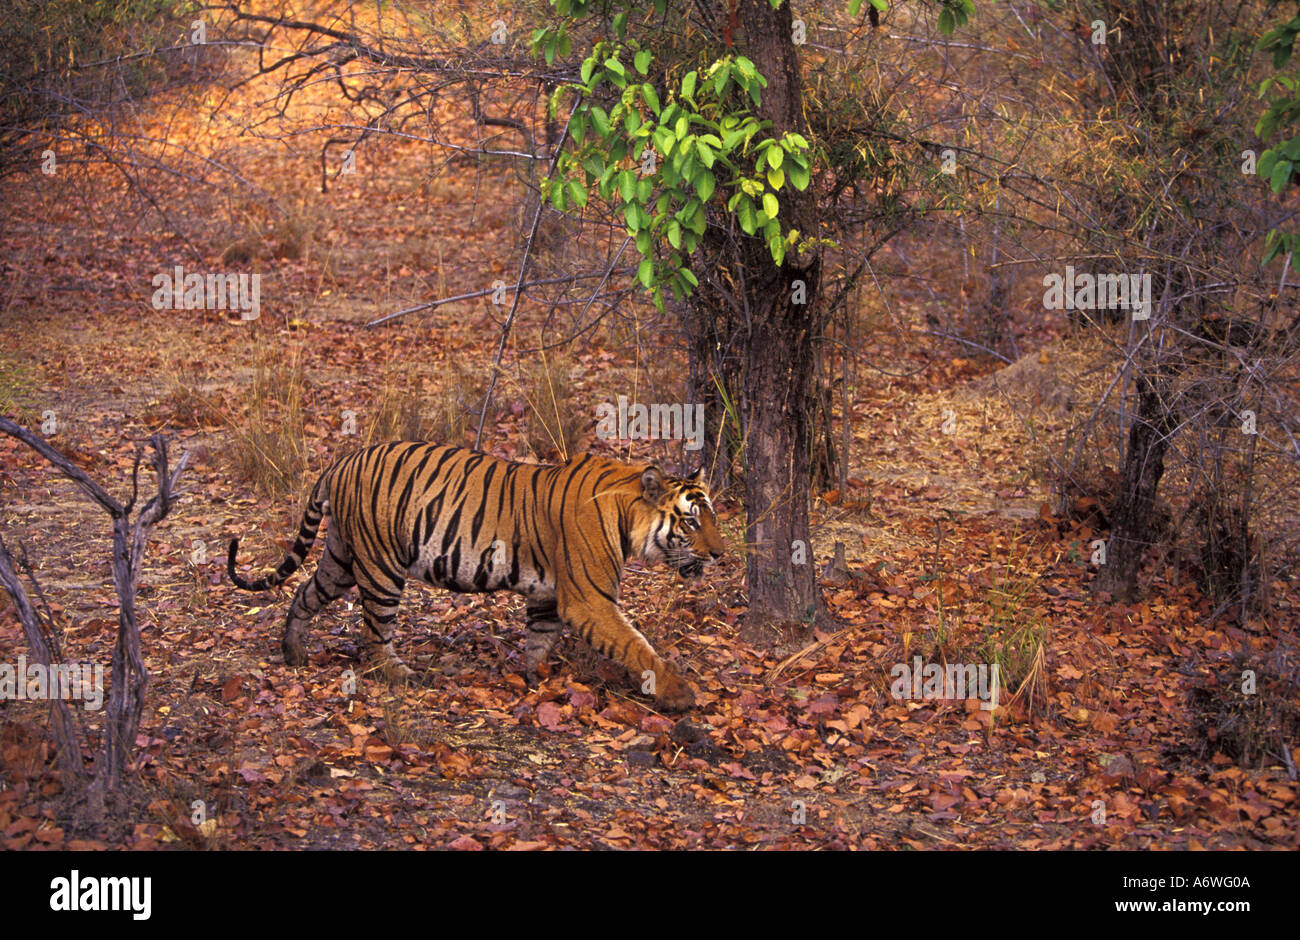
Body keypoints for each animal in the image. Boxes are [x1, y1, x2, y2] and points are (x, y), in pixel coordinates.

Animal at [227, 442, 723, 711]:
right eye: (691, 521)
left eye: (713, 517)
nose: (720, 554)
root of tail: (341, 461)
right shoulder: (589, 600)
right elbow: (636, 646)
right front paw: (678, 693)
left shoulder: (548, 596)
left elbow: (539, 640)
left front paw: (536, 678)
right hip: (380, 565)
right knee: (373, 634)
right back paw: (400, 675)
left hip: (341, 560)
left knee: (304, 595)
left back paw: (293, 652)